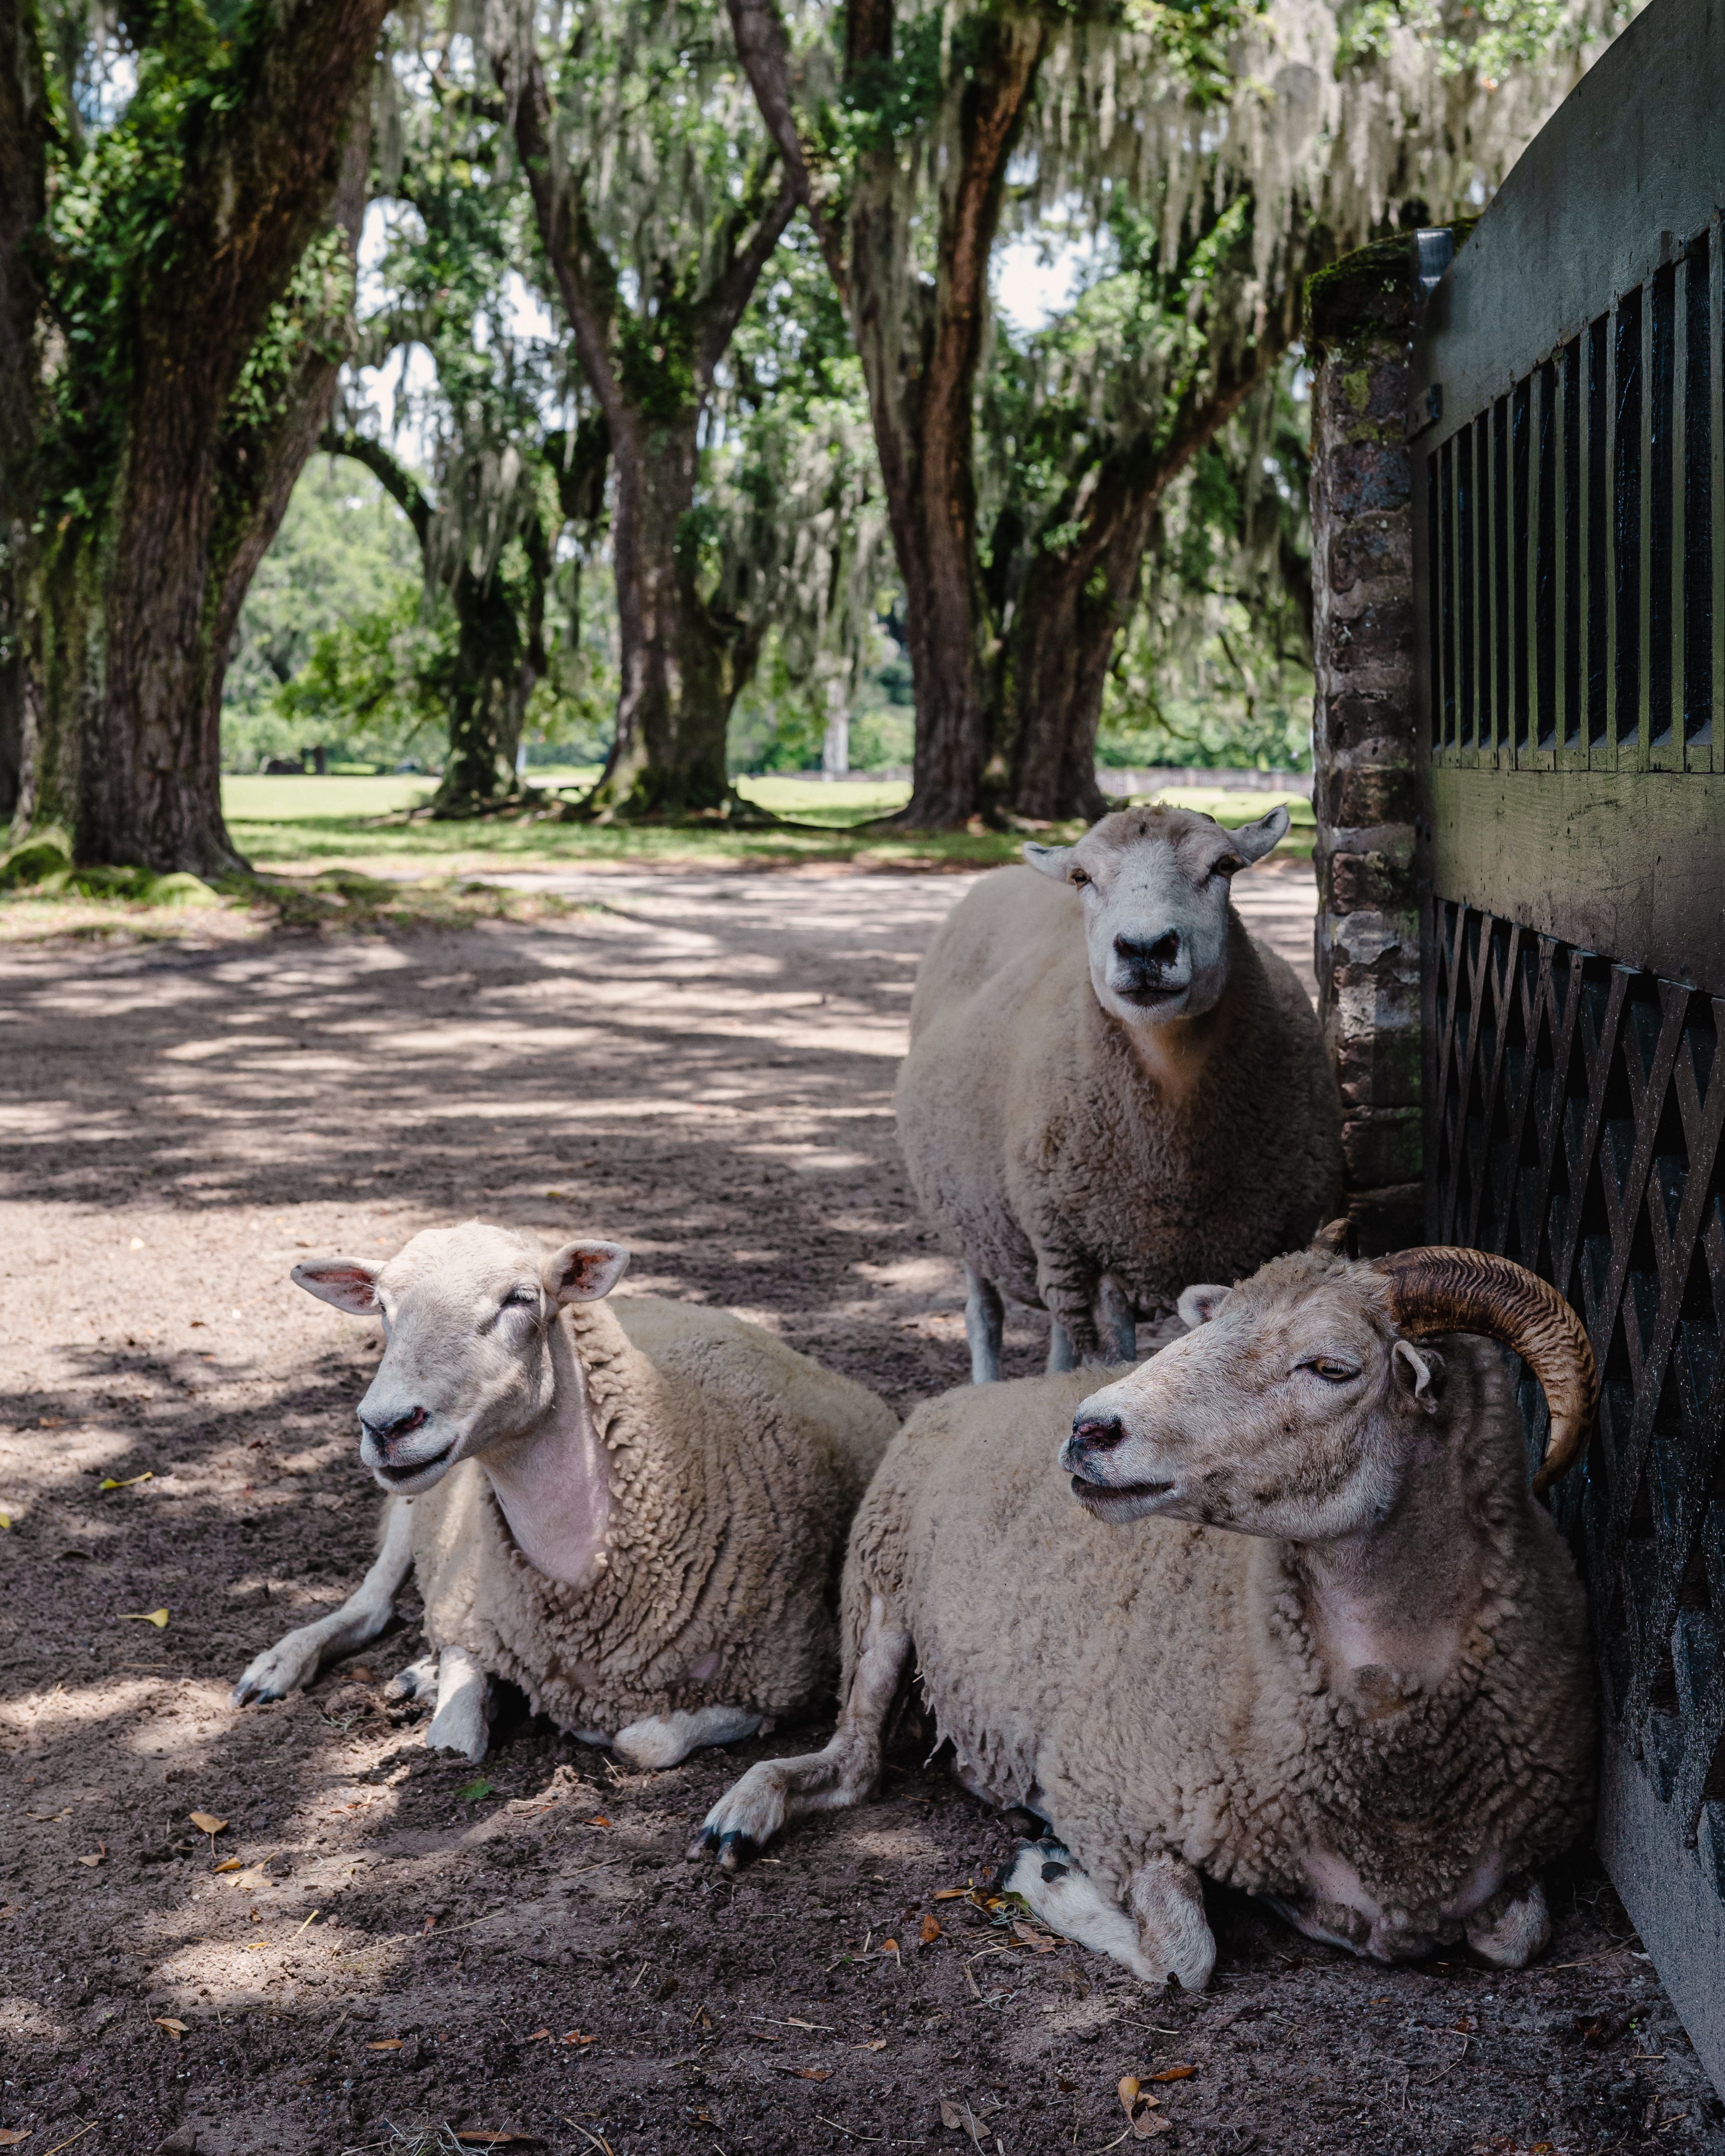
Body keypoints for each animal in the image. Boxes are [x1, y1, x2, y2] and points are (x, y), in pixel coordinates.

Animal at [231, 1220, 898, 1767]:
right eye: (383, 1308)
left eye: (521, 1298)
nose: (387, 1424)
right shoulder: (469, 1604)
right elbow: (452, 1739)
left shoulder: (790, 1676)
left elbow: (644, 1741)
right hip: (415, 1506)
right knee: (370, 1602)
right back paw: (280, 1665)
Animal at [695, 1241, 1597, 1987]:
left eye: (1331, 1365)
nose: (1089, 1429)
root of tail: (990, 1387)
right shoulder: (1102, 1788)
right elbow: (1184, 1953)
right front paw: (1045, 1873)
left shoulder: (1510, 1863)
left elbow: (1520, 1935)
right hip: (877, 1587)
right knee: (849, 1762)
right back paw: (741, 1815)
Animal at [895, 804, 1343, 1380]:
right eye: (1081, 877)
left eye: (1223, 865)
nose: (1146, 948)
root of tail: (1001, 874)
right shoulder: (1097, 1260)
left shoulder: (1263, 1240)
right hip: (972, 1214)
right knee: (985, 1315)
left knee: (1059, 1331)